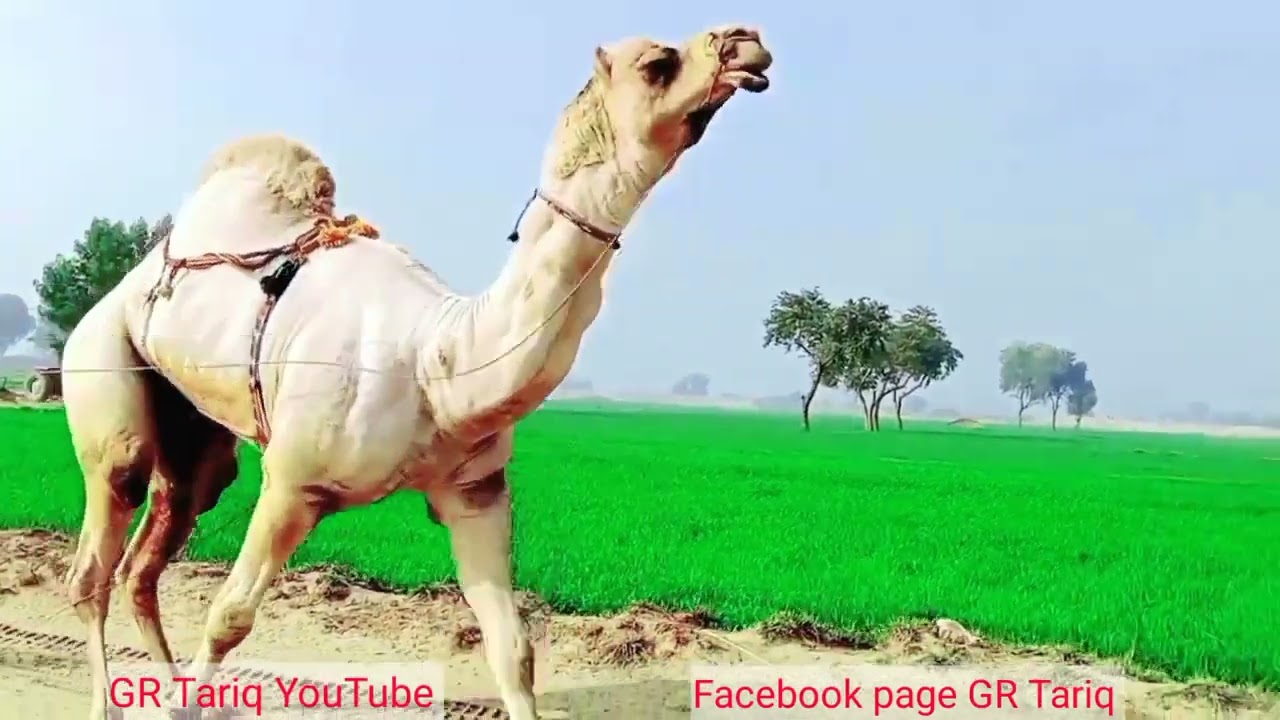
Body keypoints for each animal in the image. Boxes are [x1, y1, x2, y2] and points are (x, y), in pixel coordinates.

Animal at [59, 24, 772, 720]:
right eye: (658, 62)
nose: (747, 42)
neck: (438, 360)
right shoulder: (293, 480)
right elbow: (229, 616)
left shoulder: (475, 491)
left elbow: (513, 649)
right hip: (100, 361)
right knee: (101, 544)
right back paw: (107, 702)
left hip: (195, 429)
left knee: (152, 550)